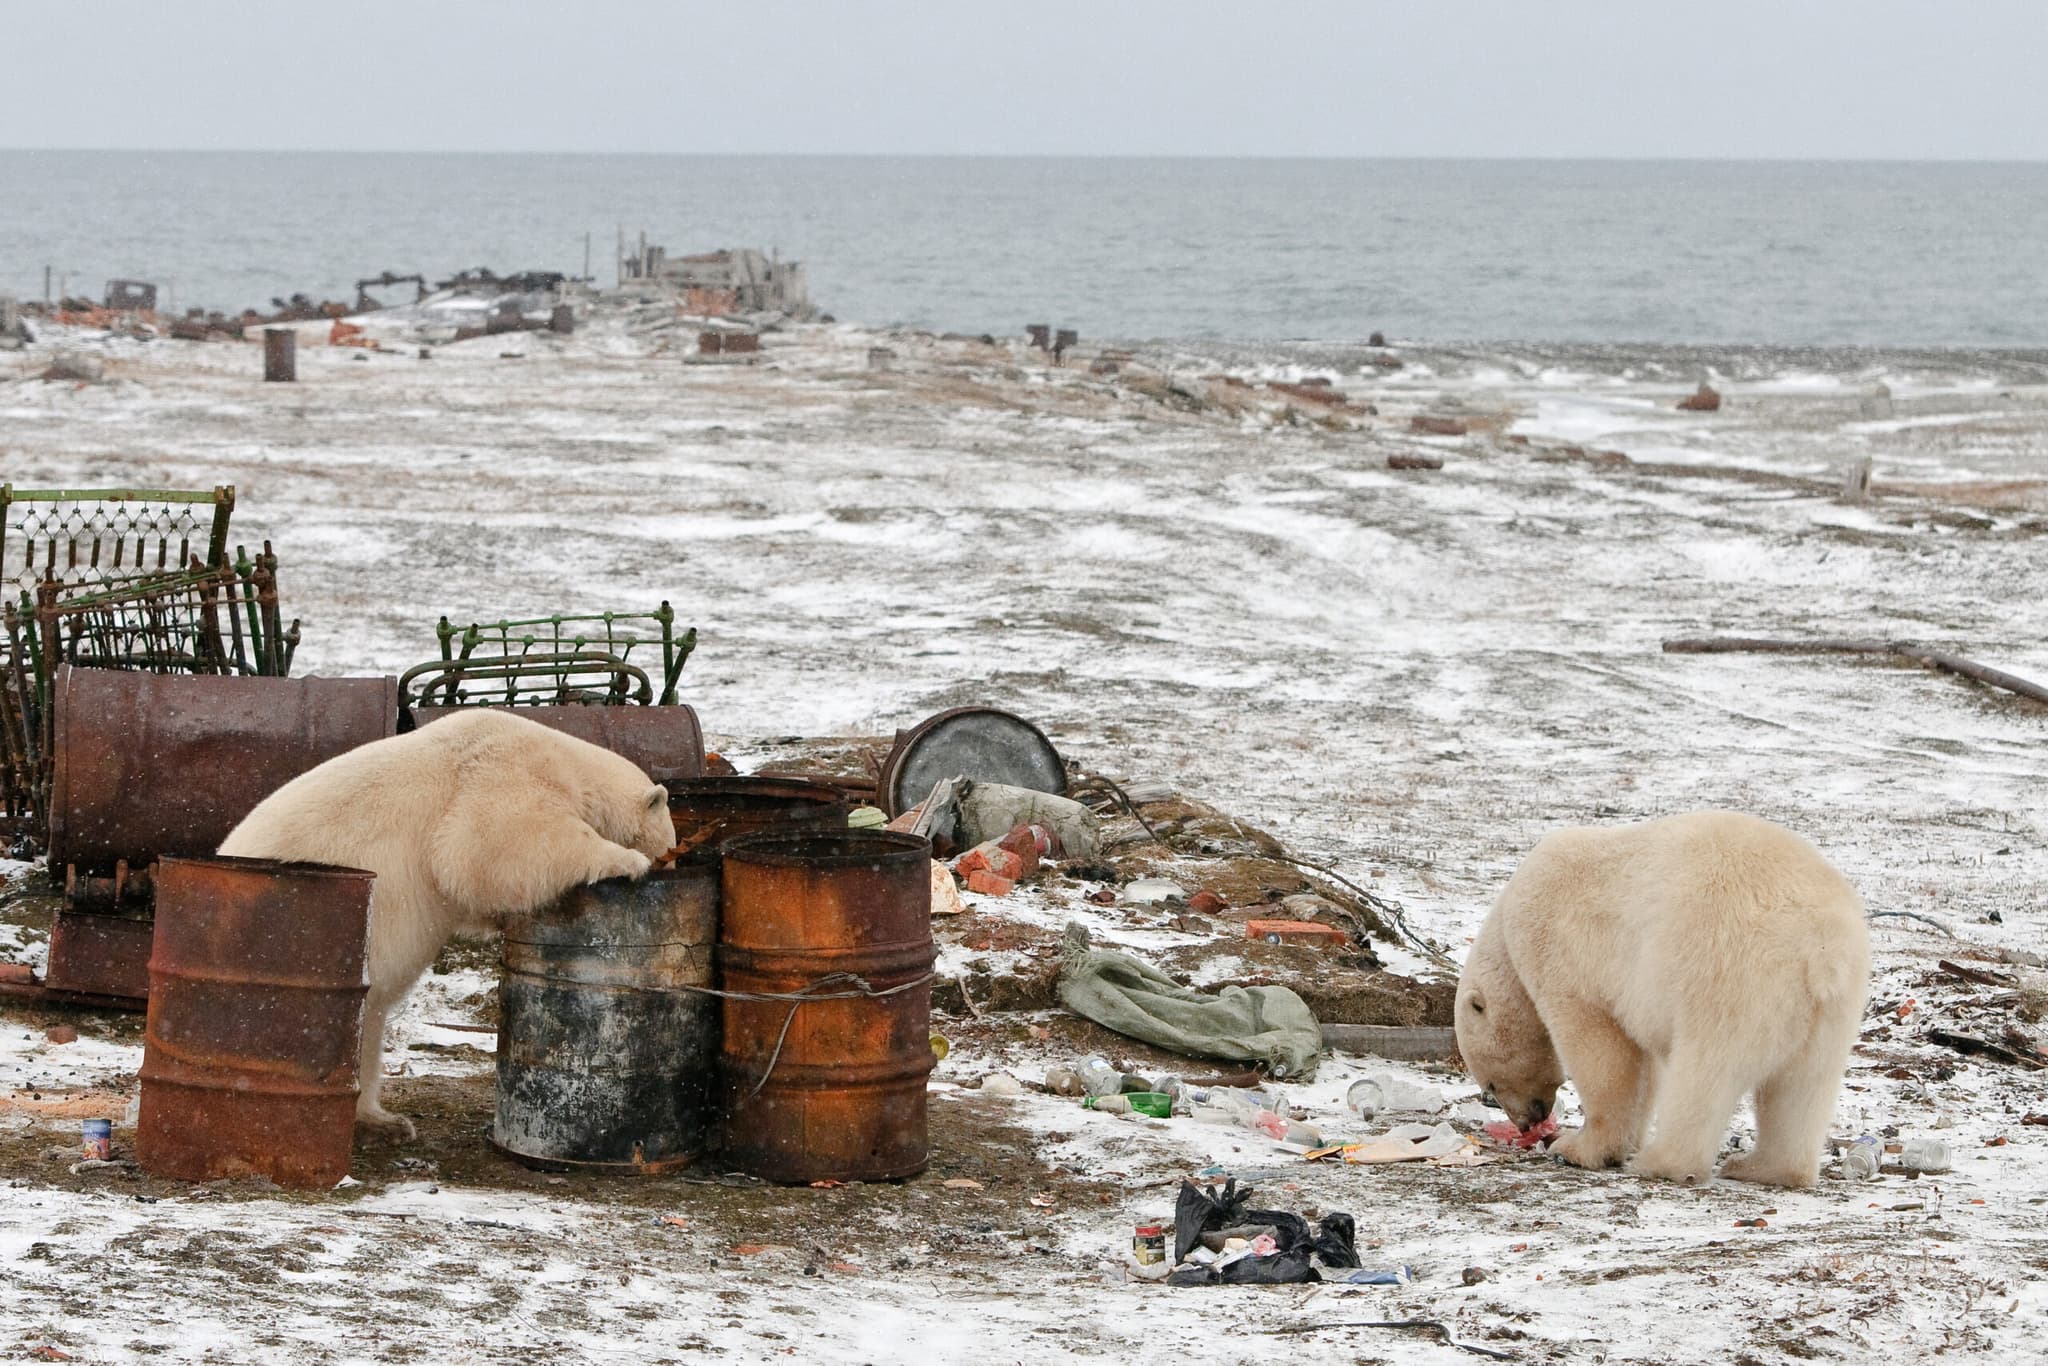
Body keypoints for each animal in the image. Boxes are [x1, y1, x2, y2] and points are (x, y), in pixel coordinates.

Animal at [218, 708, 678, 1138]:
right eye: (667, 842)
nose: (671, 861)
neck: (569, 761)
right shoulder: (503, 773)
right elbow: (494, 845)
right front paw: (626, 861)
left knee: (367, 1026)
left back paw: (384, 1120)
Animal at [1455, 809, 1870, 1188]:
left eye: (1490, 1086)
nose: (1531, 1120)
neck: (1508, 928)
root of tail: (1820, 949)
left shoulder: (1561, 954)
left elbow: (1600, 1052)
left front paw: (1579, 1148)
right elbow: (1644, 1068)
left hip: (1731, 975)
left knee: (1705, 1071)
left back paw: (1663, 1162)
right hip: (1831, 1009)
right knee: (1803, 1088)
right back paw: (1764, 1168)